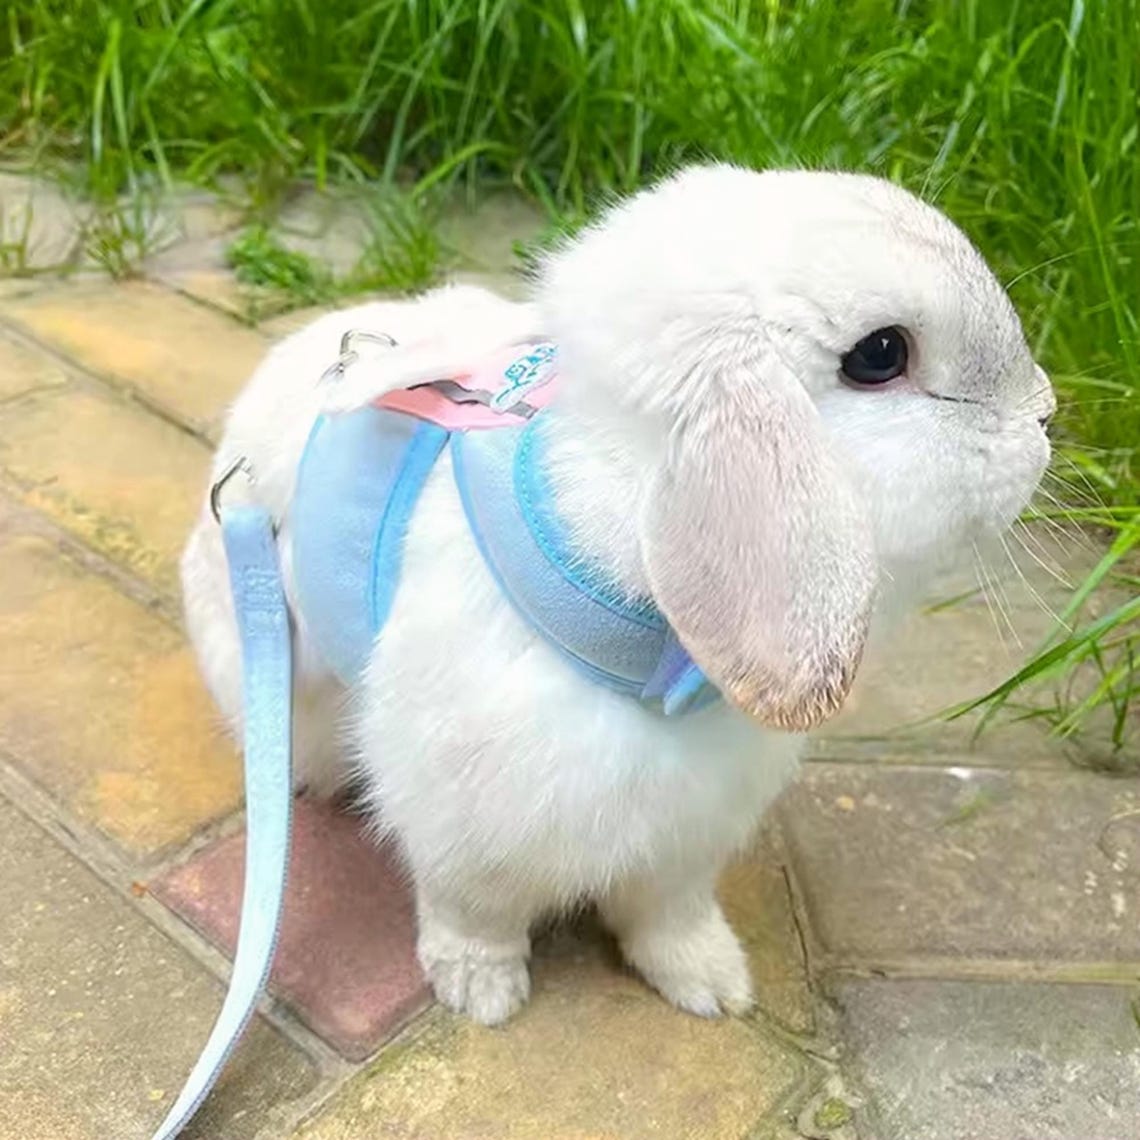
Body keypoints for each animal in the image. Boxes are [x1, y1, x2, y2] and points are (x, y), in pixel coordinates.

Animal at [181, 163, 1055, 1026]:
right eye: (880, 354)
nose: (1048, 414)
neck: (664, 661)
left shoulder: (689, 834)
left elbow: (668, 913)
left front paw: (712, 985)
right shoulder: (463, 818)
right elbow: (474, 911)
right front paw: (483, 994)